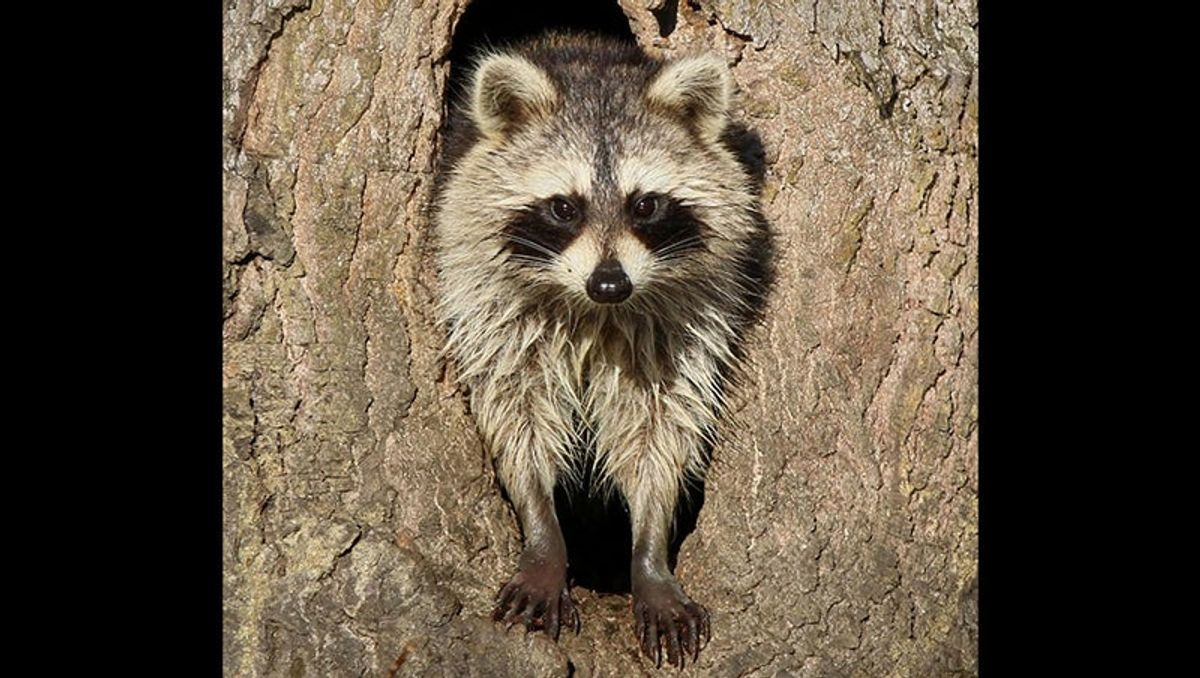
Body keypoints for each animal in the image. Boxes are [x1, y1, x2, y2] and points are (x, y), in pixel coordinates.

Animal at [432, 32, 773, 667]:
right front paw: (542, 531)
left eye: (646, 205)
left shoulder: (681, 320)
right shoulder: (488, 299)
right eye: (565, 207)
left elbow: (659, 429)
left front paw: (651, 551)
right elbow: (516, 411)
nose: (610, 284)